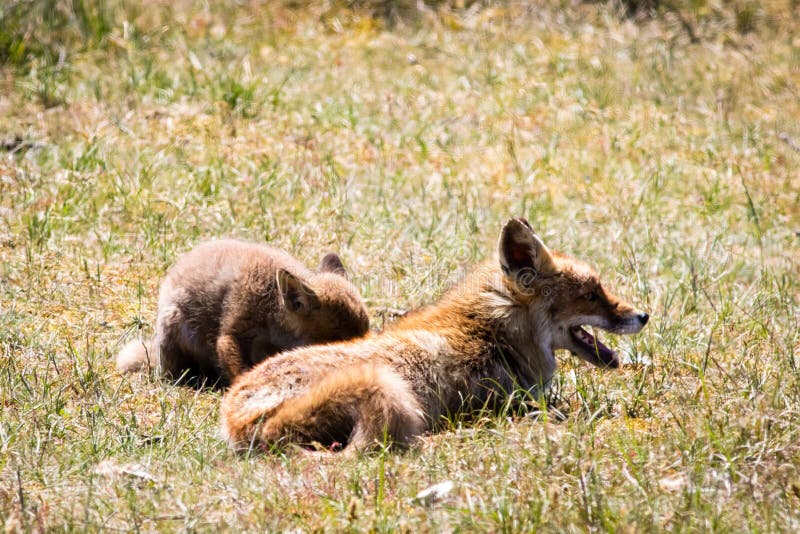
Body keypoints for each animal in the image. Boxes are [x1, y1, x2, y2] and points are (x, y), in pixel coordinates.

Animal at [219, 218, 649, 452]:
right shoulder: (498, 398)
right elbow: (554, 408)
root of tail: (234, 416)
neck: (492, 330)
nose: (644, 316)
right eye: (592, 295)